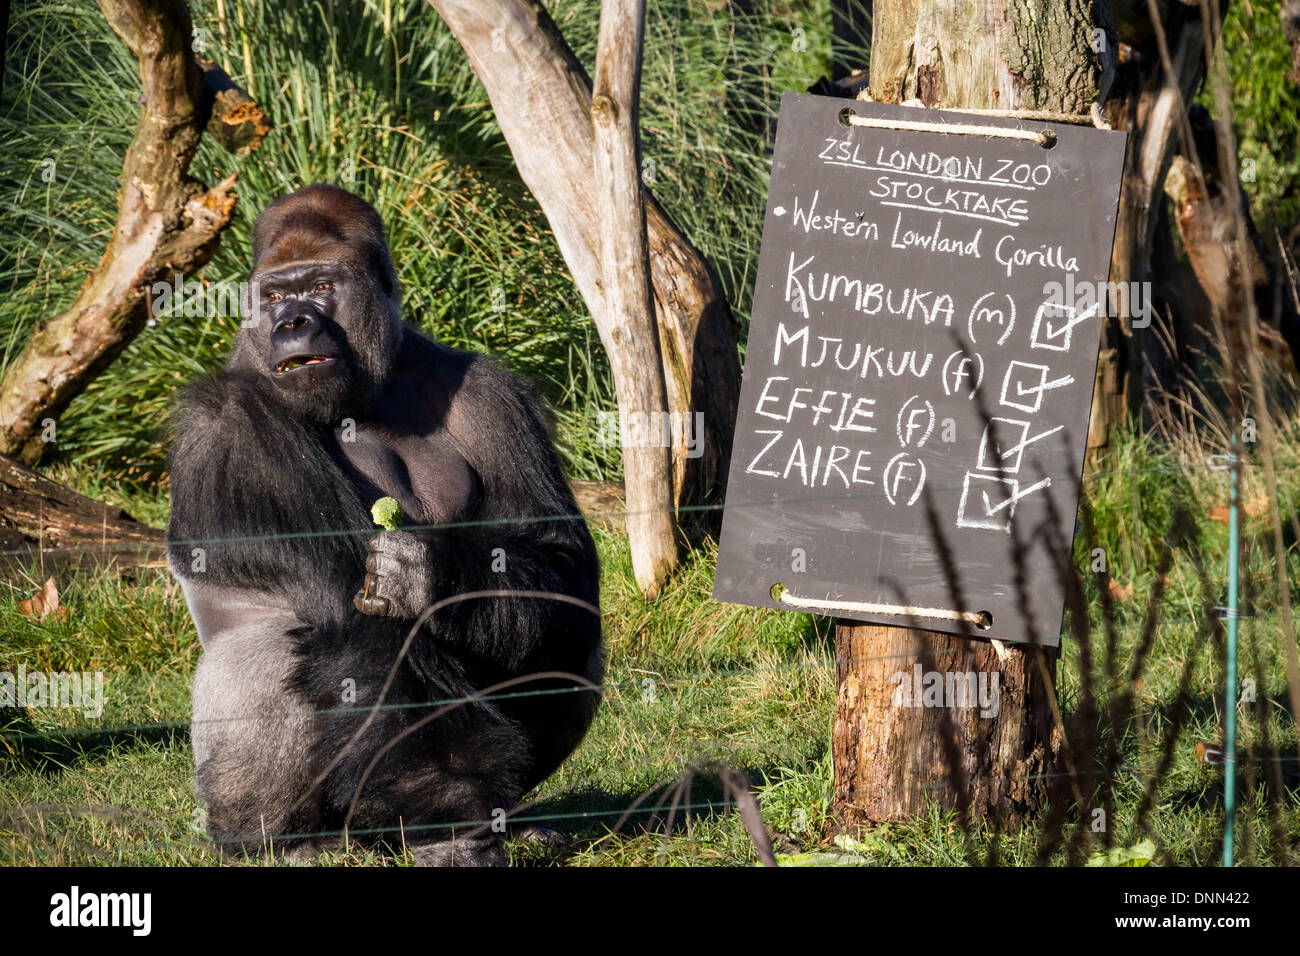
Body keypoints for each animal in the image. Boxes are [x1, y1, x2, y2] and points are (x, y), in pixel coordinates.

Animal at [166, 184, 603, 866]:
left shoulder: (491, 395)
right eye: (274, 296)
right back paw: (289, 841)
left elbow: (557, 557)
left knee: (568, 631)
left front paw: (434, 574)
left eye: (321, 287)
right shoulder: (230, 427)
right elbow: (362, 631)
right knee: (269, 652)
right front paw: (455, 823)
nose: (291, 323)